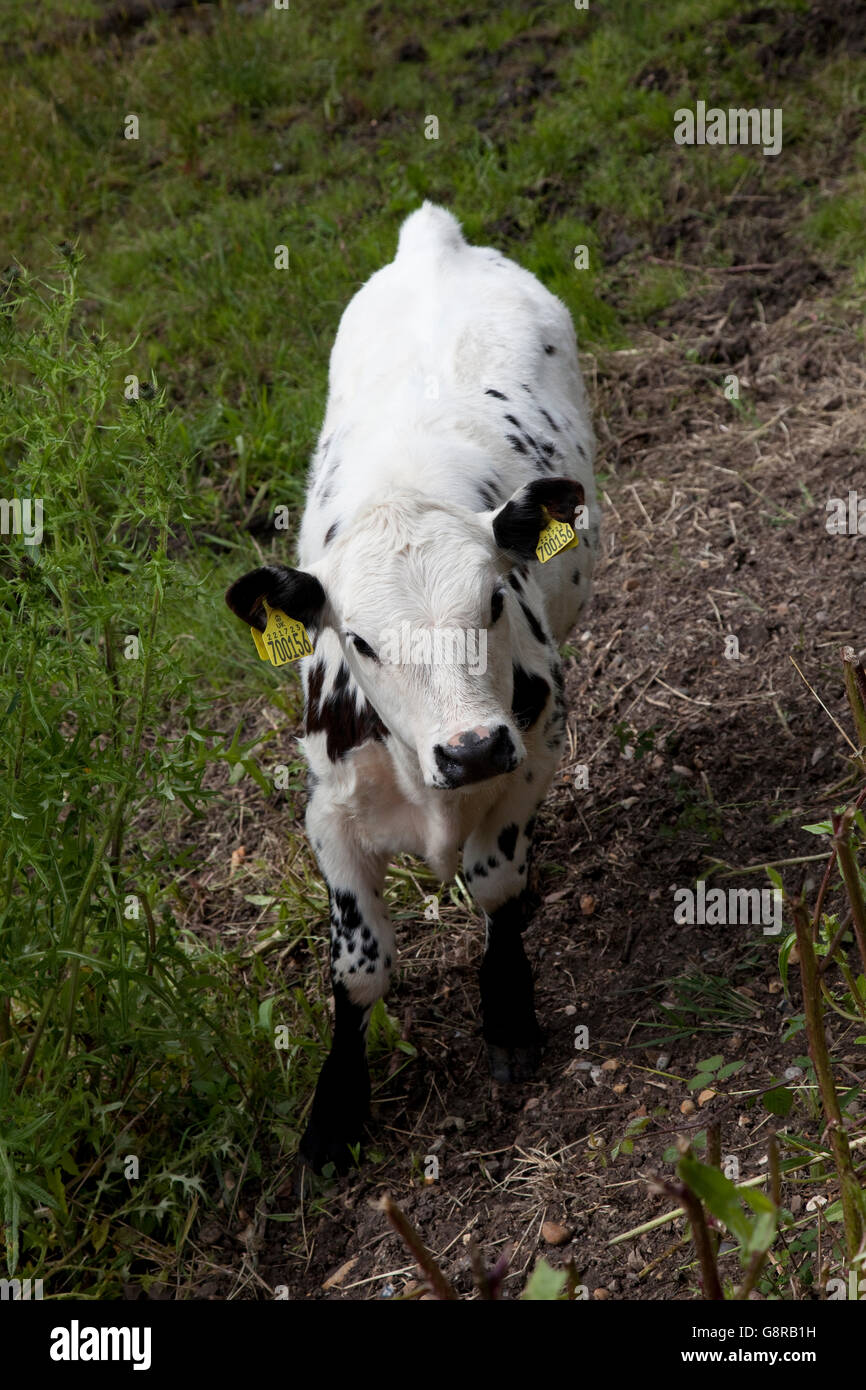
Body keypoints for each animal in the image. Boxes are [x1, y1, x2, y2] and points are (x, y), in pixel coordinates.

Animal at [226, 203, 599, 1173]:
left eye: (494, 599)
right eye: (358, 641)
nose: (470, 749)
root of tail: (433, 240)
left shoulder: (534, 749)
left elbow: (495, 883)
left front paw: (508, 1016)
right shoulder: (327, 810)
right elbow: (360, 967)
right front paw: (335, 1112)